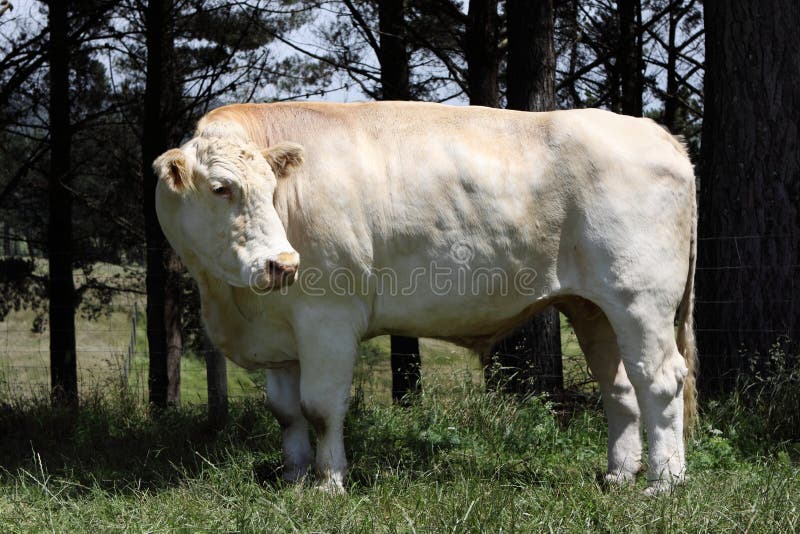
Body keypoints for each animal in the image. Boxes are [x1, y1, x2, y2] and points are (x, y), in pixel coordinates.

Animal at [154, 101, 697, 494]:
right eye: (220, 188)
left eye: (270, 188)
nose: (283, 264)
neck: (231, 302)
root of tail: (658, 133)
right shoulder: (279, 333)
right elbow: (286, 413)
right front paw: (293, 478)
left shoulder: (327, 318)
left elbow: (321, 407)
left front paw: (328, 485)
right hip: (593, 307)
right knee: (619, 386)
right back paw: (618, 475)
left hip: (640, 298)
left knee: (659, 381)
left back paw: (663, 483)